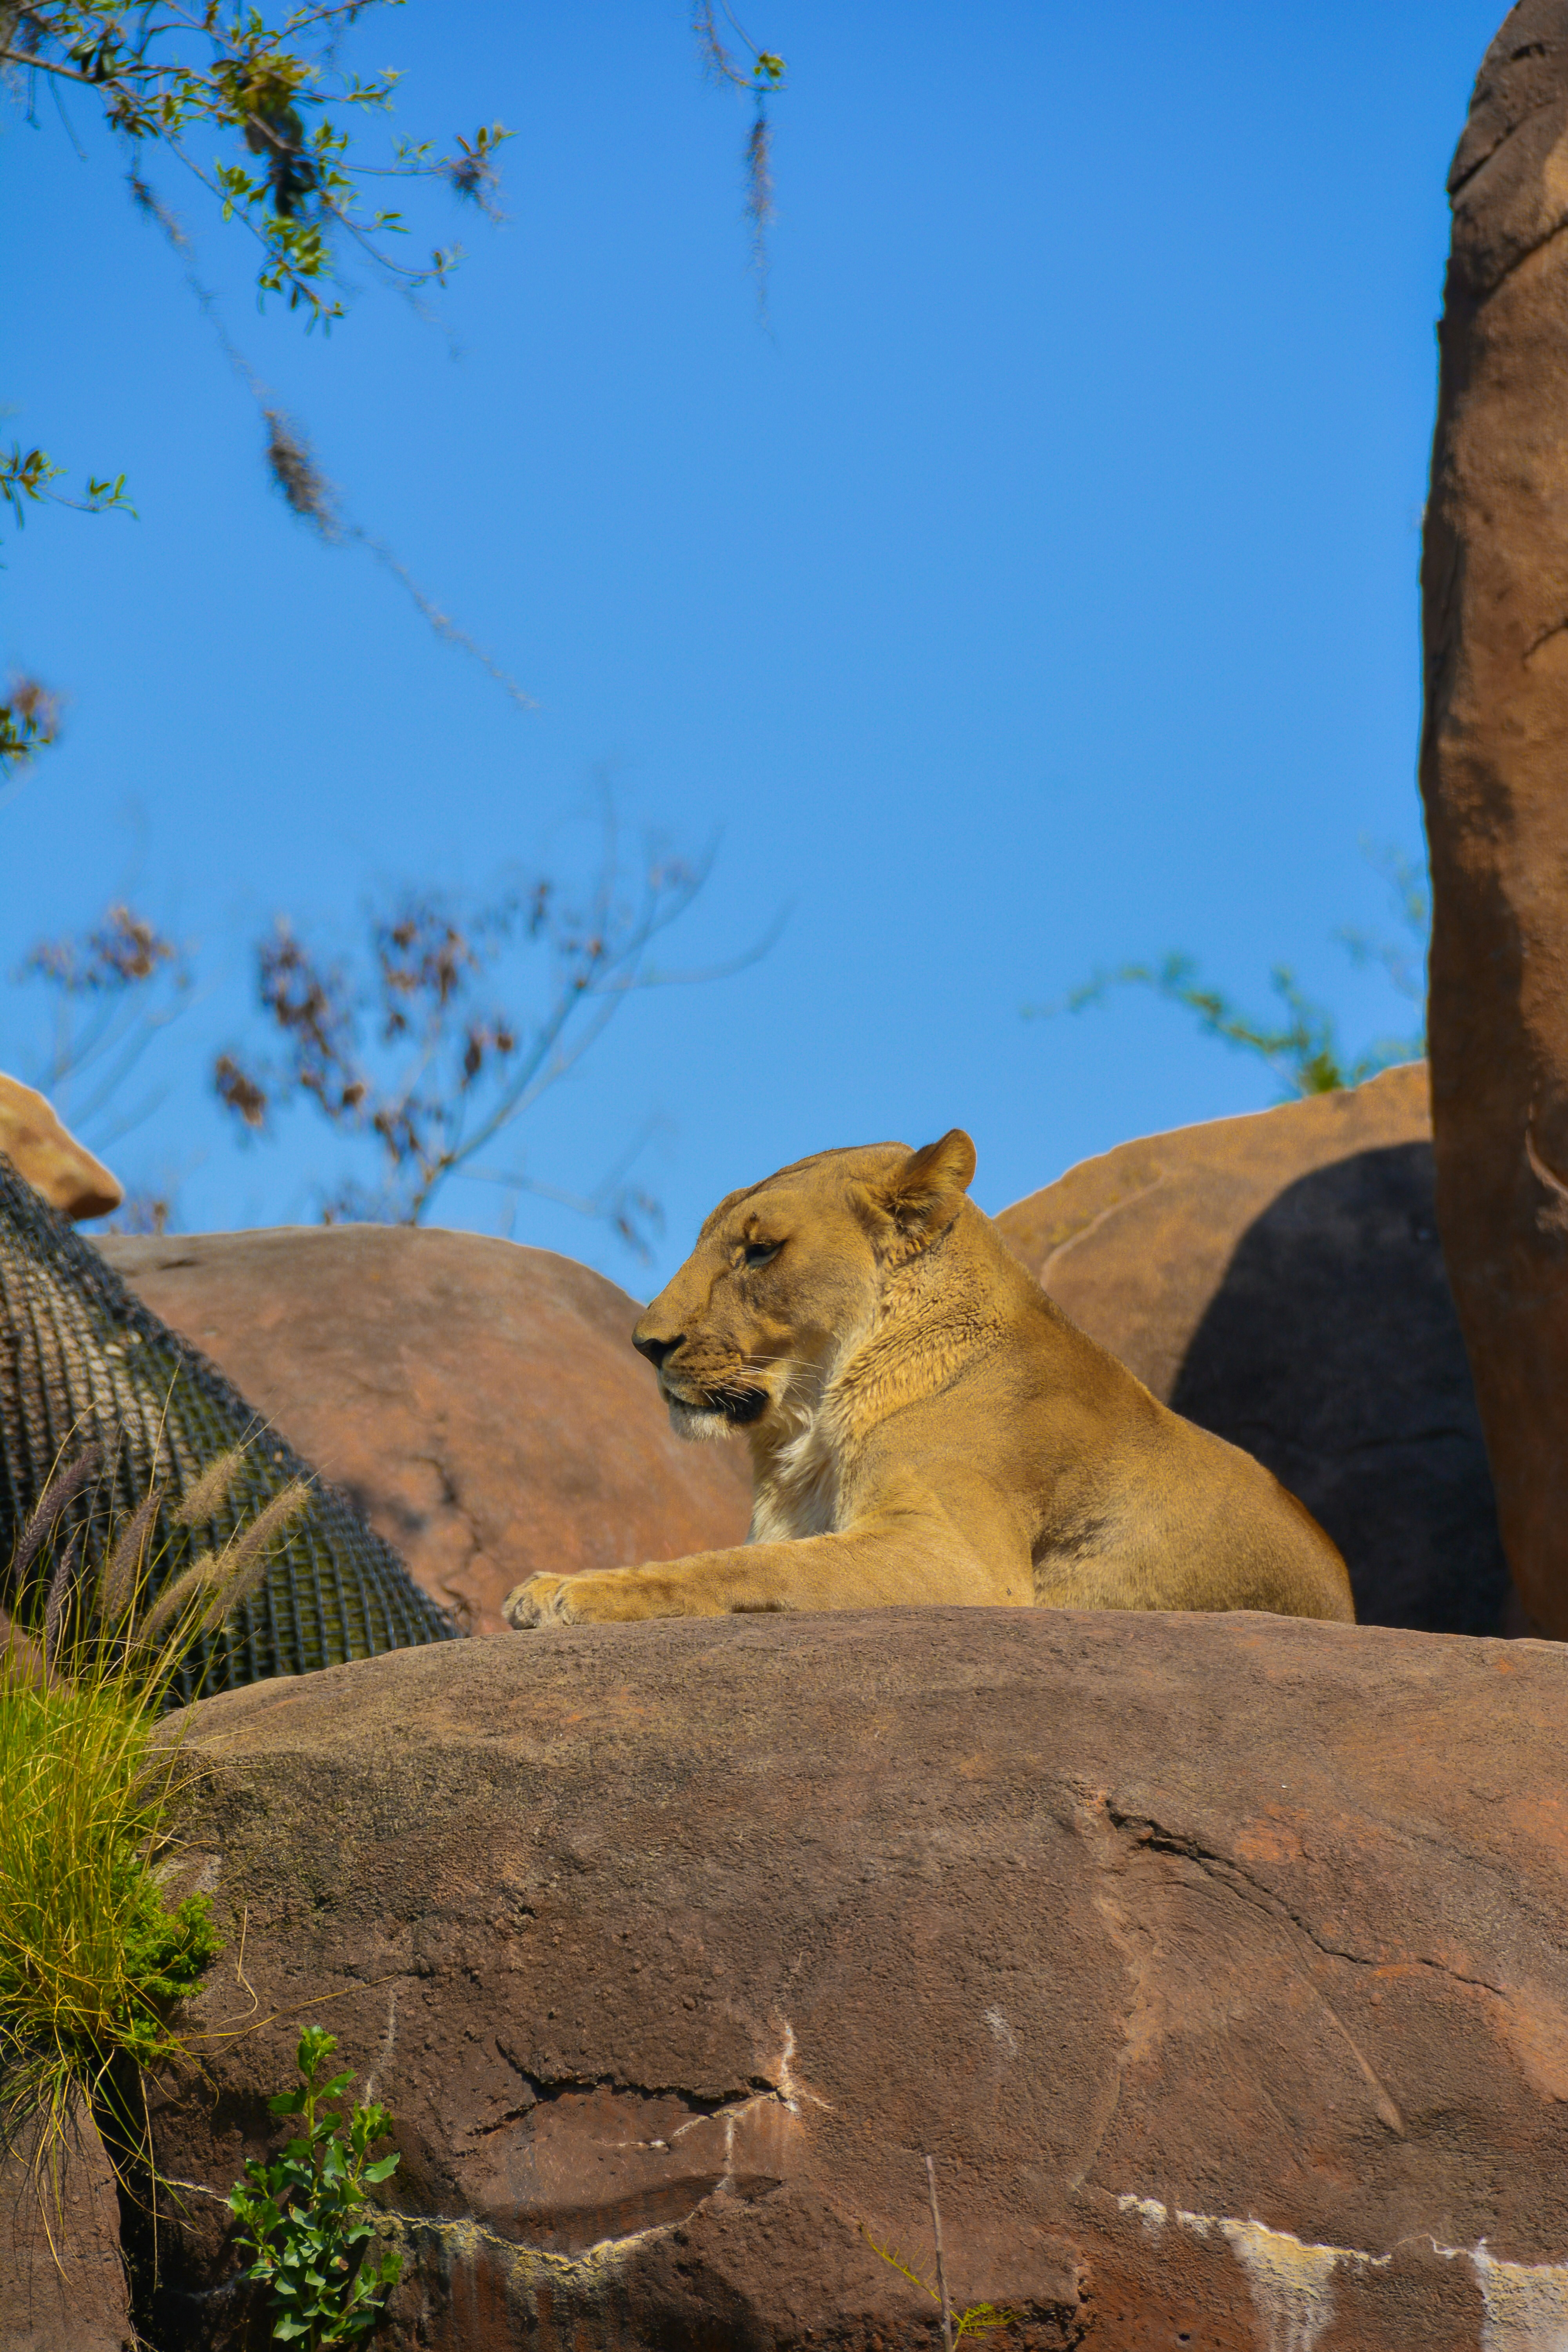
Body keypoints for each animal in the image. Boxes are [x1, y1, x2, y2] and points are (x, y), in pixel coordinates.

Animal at [502, 1129, 1355, 1628]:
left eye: (760, 1251)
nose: (645, 1344)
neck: (808, 1436)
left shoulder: (966, 1564)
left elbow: (745, 1566)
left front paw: (570, 1590)